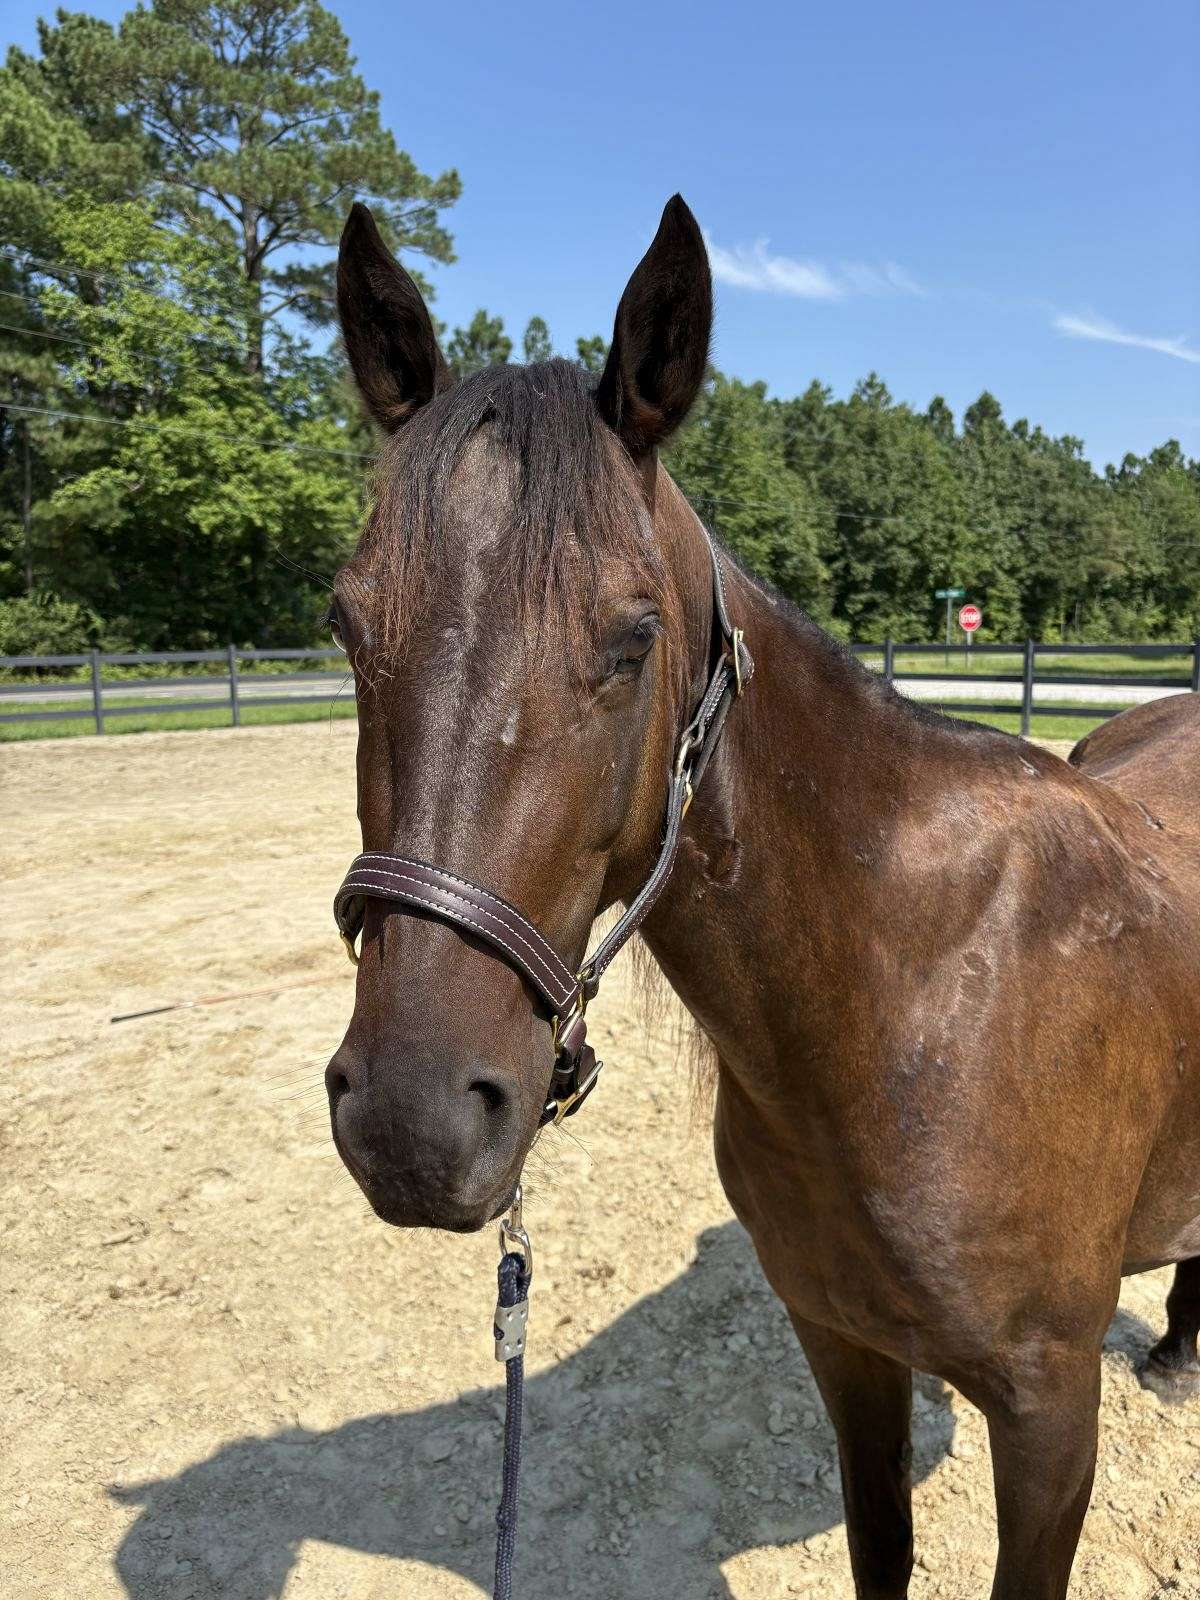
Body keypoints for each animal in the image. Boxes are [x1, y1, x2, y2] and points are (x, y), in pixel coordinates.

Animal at [323, 194, 1200, 1599]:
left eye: (632, 639)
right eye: (348, 626)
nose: (410, 1119)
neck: (916, 997)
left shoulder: (1053, 1414)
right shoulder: (842, 1346)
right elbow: (880, 1545)